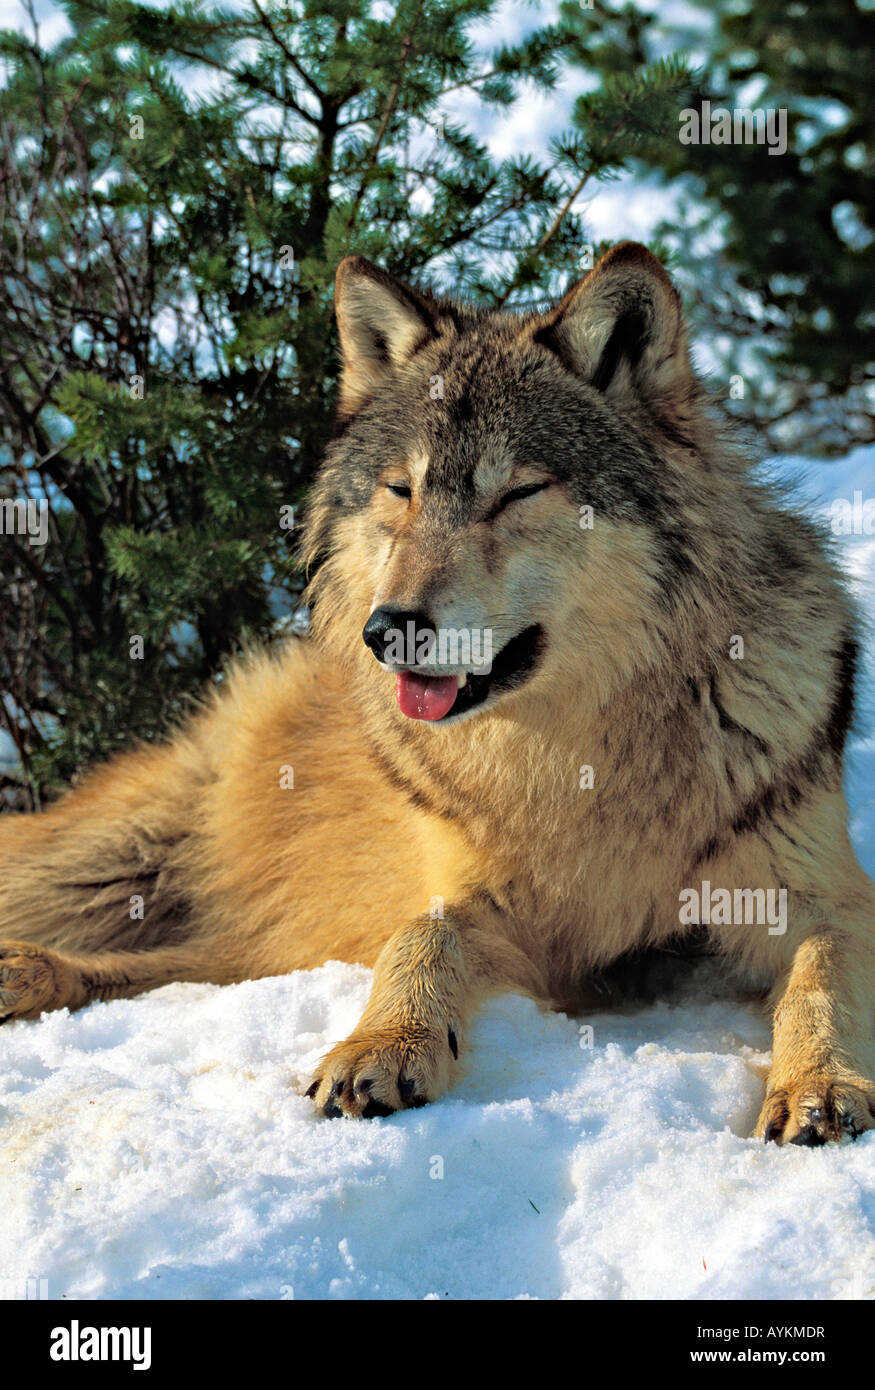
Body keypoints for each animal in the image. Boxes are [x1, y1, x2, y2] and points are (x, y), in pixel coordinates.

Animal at [1, 243, 873, 1145]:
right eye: (401, 490)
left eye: (516, 492)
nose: (387, 630)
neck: (574, 754)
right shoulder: (474, 899)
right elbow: (417, 938)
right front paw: (383, 1044)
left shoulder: (819, 895)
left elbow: (822, 975)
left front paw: (817, 1083)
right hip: (108, 863)